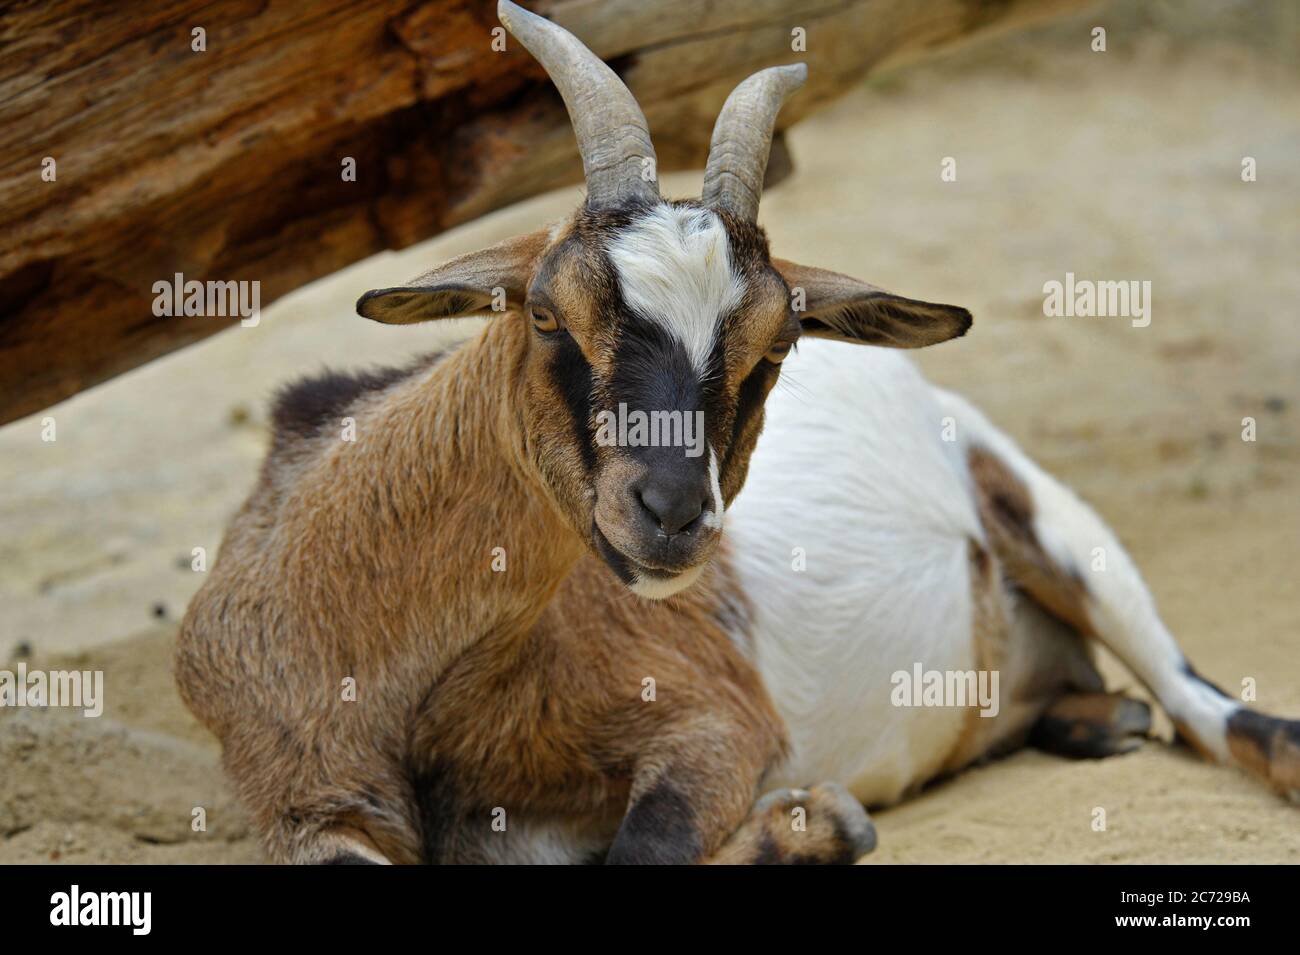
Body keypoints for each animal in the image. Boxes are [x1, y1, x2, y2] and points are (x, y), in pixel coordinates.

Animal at [176, 1, 1298, 865]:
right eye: (545, 313)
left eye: (776, 346)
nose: (673, 513)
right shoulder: (304, 796)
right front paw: (806, 827)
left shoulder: (715, 717)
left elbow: (650, 847)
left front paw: (812, 824)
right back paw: (1095, 720)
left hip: (1055, 519)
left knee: (1221, 713)